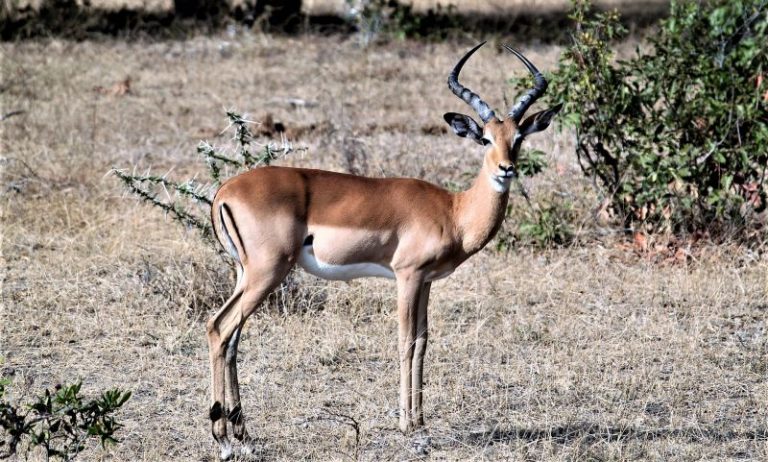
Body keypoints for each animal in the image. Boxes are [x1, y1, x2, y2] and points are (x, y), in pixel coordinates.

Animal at [207, 42, 561, 459]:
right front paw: (408, 426)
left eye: (518, 137)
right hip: (267, 272)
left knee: (232, 339)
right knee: (219, 328)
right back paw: (222, 438)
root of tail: (225, 191)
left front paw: (421, 422)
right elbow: (406, 342)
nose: (506, 169)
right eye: (485, 138)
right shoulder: (407, 276)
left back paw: (242, 433)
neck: (453, 211)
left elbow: (423, 342)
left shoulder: (427, 282)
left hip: (247, 274)